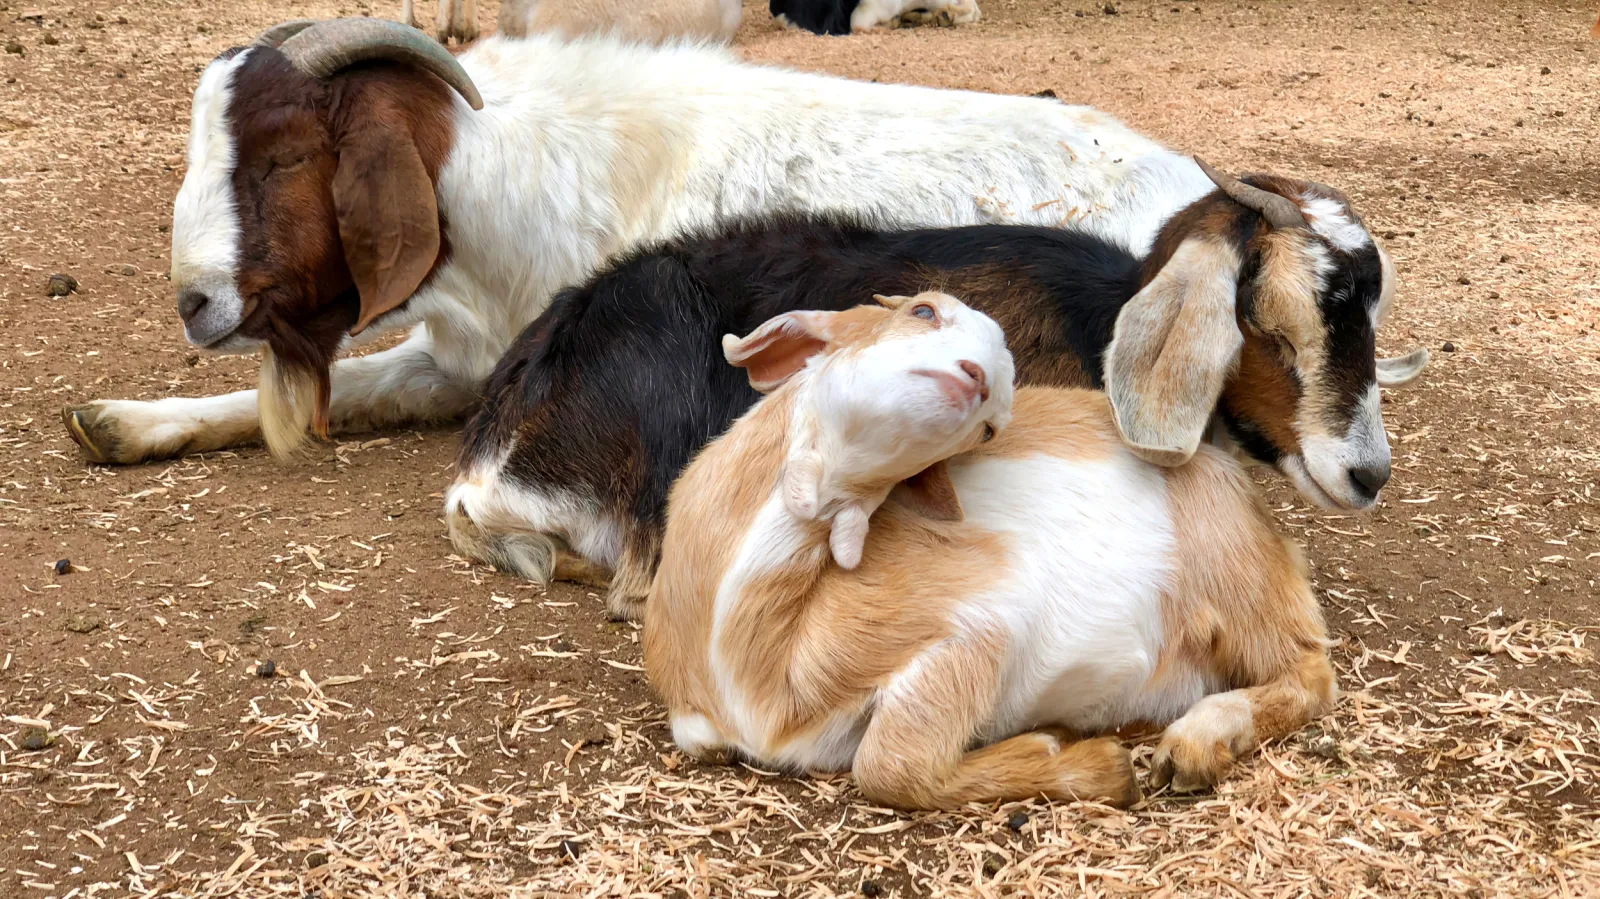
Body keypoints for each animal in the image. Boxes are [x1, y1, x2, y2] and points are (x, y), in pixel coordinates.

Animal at [641, 292, 1335, 807]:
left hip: (1232, 564)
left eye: (990, 427)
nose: (974, 379)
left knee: (1307, 670)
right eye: (922, 310)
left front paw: (1085, 760)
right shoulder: (697, 726)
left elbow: (888, 768)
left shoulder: (984, 620)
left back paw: (1192, 744)